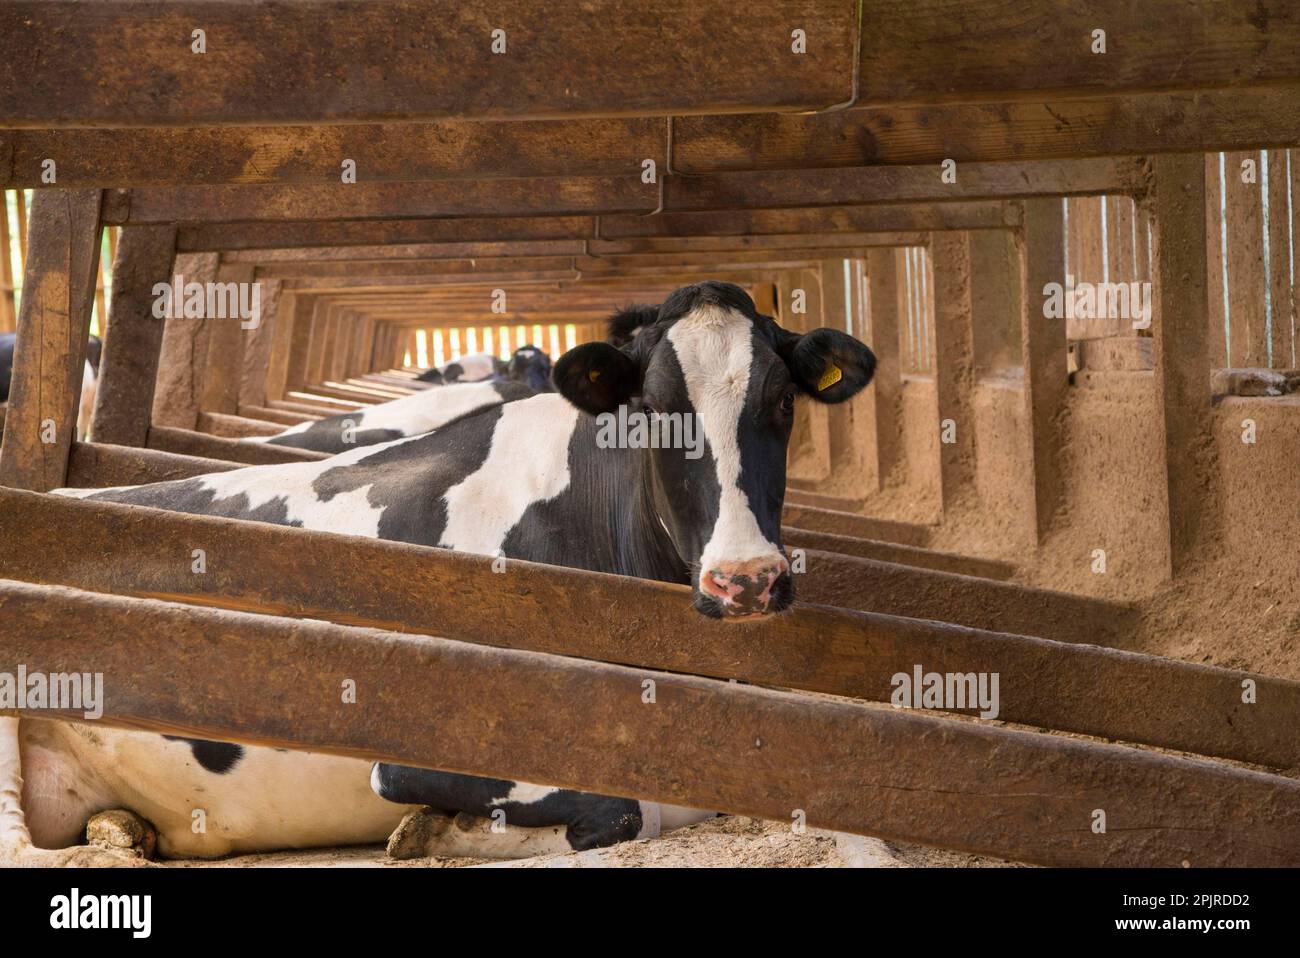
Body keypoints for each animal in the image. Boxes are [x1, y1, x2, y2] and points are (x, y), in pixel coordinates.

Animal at [2, 281, 876, 866]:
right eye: (654, 410)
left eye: (783, 405)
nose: (745, 577)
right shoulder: (418, 755)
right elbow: (630, 810)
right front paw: (441, 830)